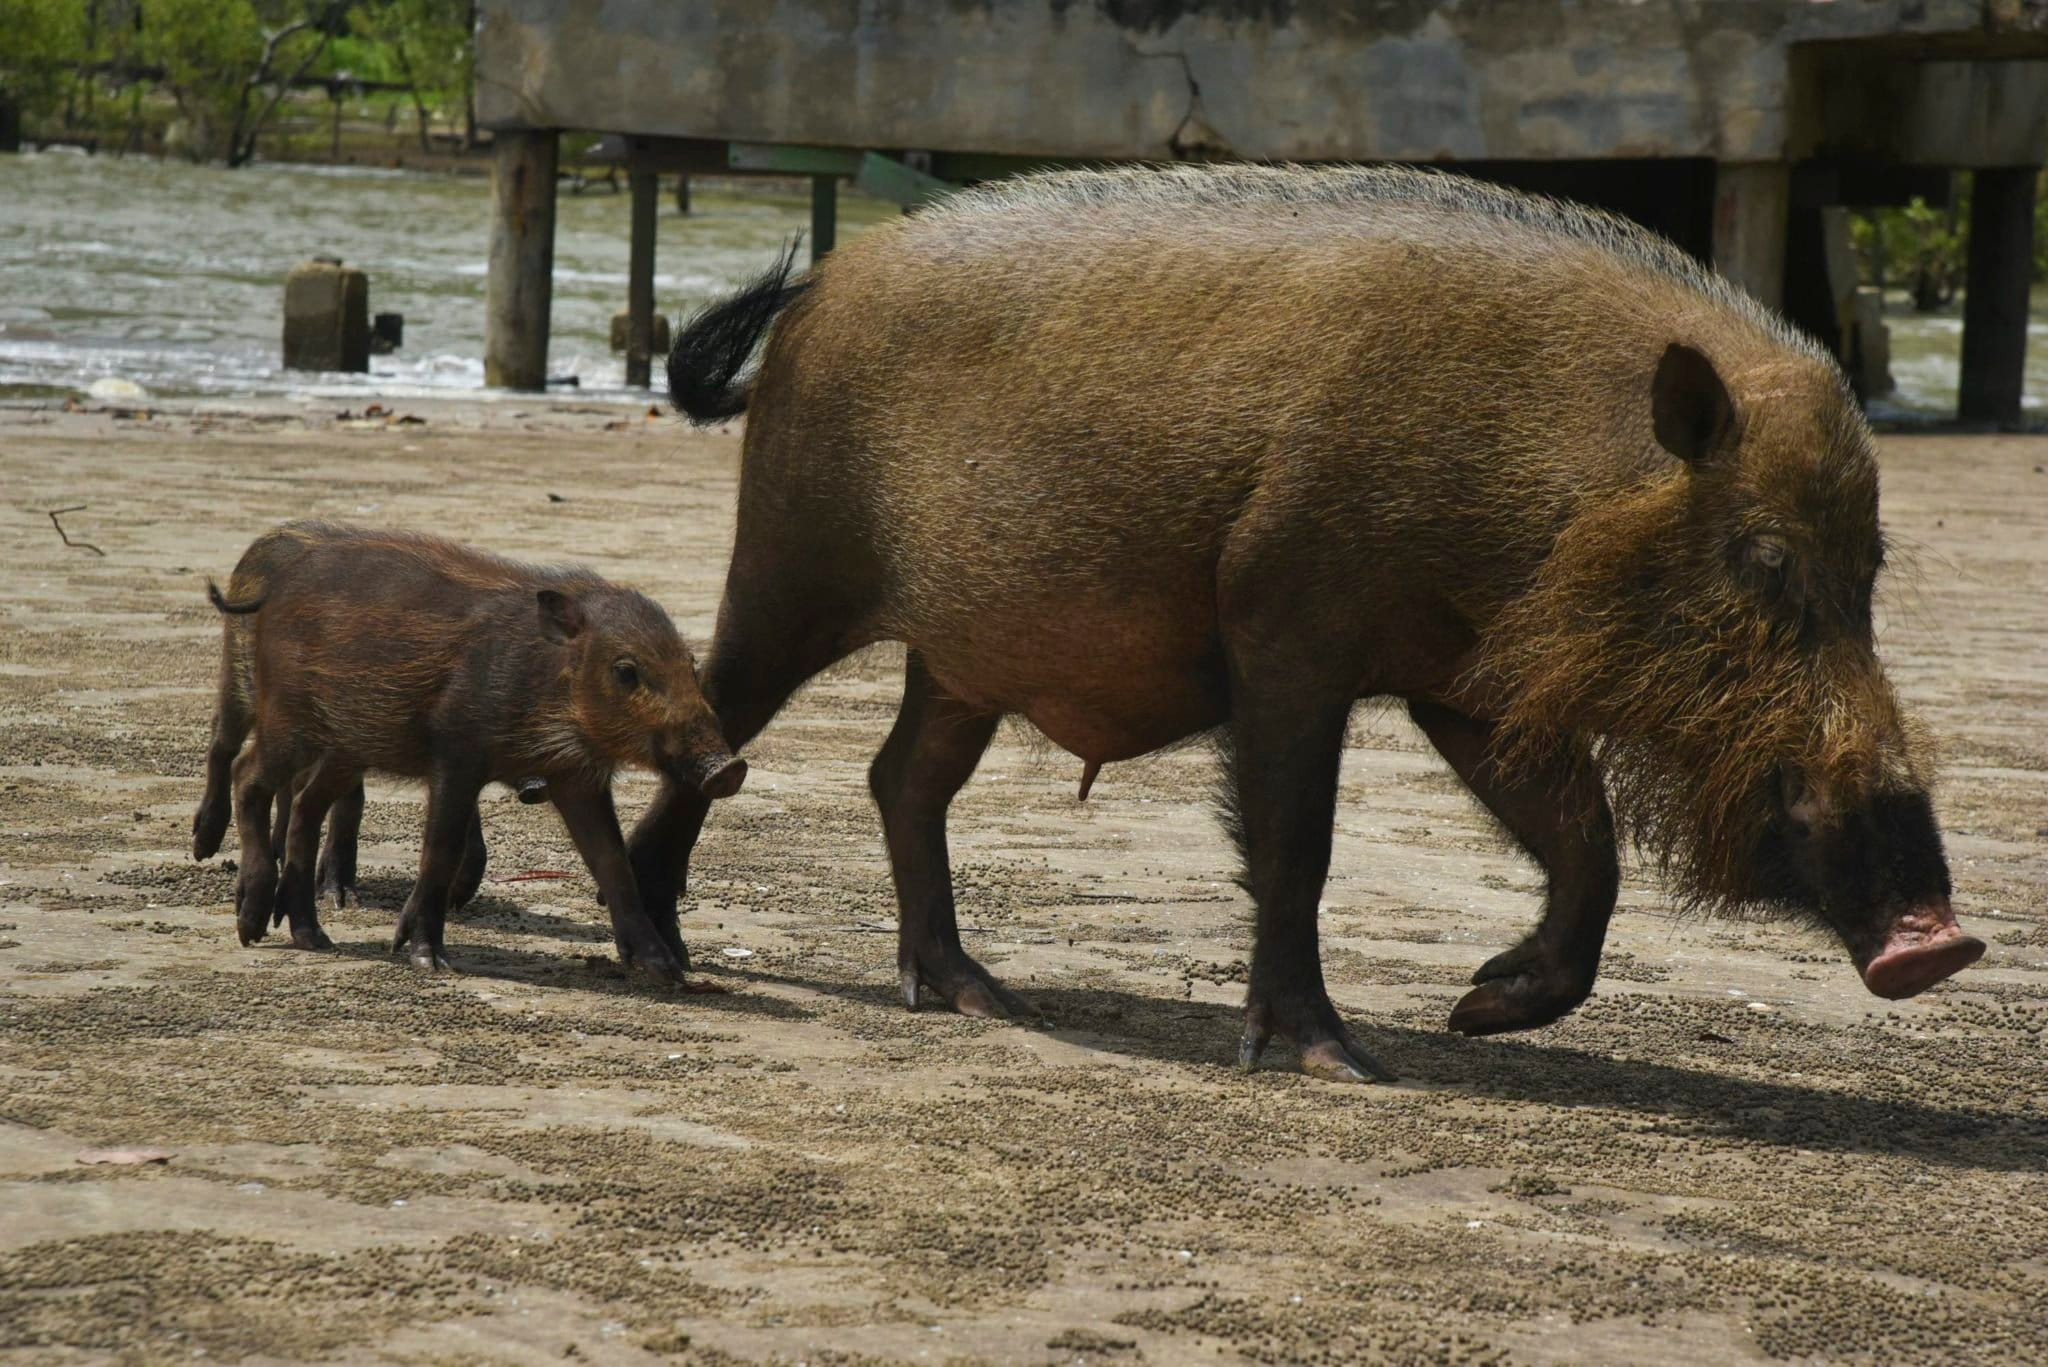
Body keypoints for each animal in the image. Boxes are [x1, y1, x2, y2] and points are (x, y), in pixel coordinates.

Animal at [193, 522, 744, 974]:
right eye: (626, 671)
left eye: (690, 662)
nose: (729, 769)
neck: (544, 682)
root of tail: (276, 586)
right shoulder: (457, 757)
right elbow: (440, 850)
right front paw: (428, 960)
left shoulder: (576, 777)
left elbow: (612, 863)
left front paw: (665, 970)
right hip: (287, 720)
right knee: (247, 772)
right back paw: (245, 916)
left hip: (344, 749)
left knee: (307, 807)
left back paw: (314, 936)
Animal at [621, 164, 1981, 1081]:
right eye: (1765, 561)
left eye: (1867, 569)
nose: (1940, 938)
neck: (1553, 475)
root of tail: (817, 294)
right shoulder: (1281, 619)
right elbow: (1295, 844)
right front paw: (1337, 1061)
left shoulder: (1460, 676)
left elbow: (1583, 839)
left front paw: (1473, 1010)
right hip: (792, 563)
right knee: (720, 714)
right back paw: (661, 956)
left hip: (957, 657)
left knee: (900, 775)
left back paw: (977, 997)